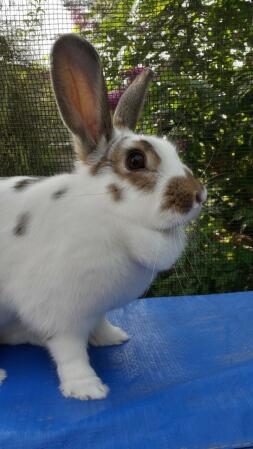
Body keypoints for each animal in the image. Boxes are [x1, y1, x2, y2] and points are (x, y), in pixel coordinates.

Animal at [0, 34, 207, 400]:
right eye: (136, 160)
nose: (199, 195)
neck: (111, 221)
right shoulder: (60, 313)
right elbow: (70, 352)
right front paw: (86, 388)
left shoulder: (94, 308)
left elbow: (98, 324)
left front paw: (111, 337)